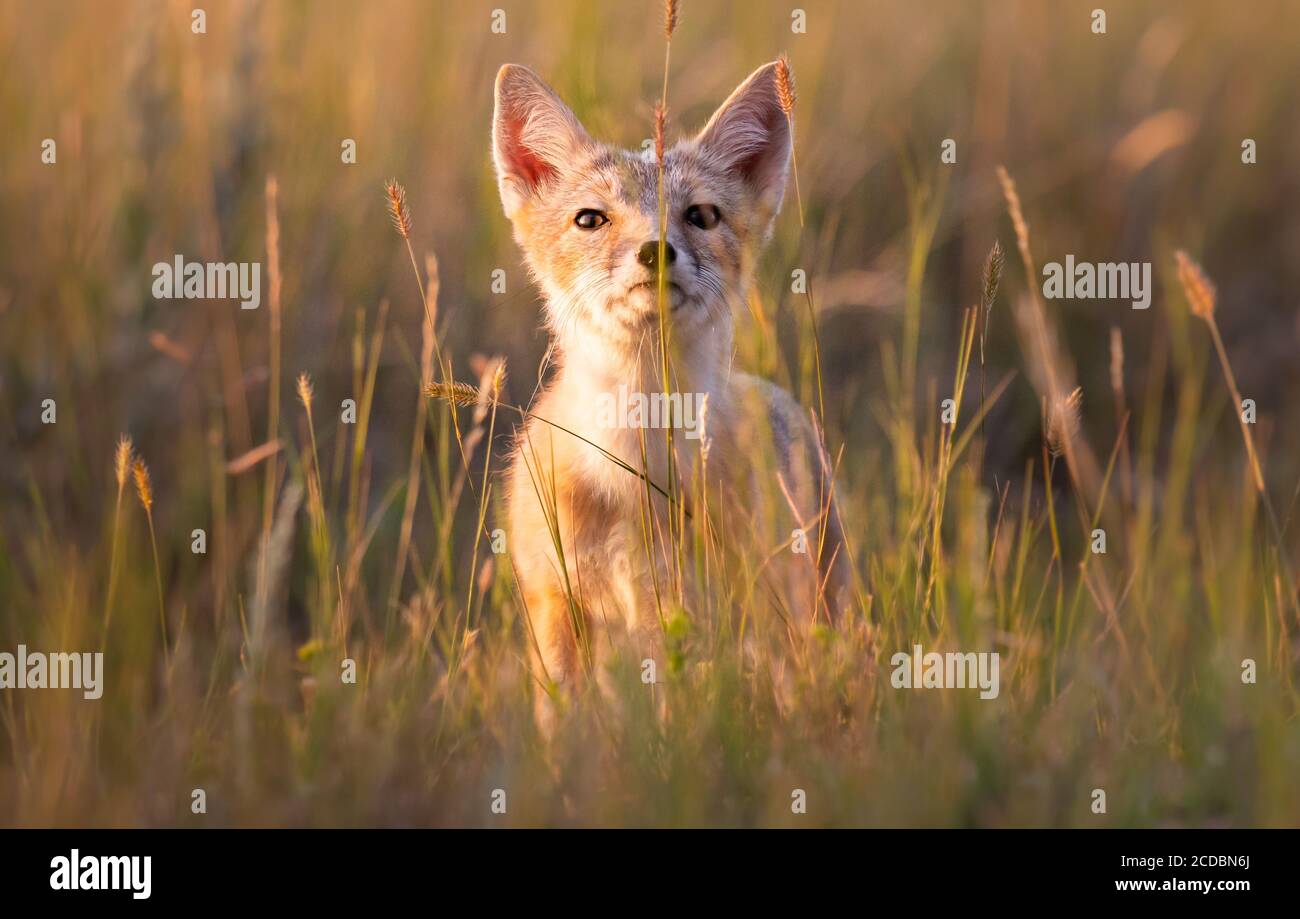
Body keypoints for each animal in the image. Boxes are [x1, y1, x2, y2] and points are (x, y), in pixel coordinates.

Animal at [491, 61, 851, 728]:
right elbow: (563, 726)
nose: (656, 249)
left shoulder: (686, 610)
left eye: (700, 216)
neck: (637, 461)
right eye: (591, 219)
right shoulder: (556, 602)